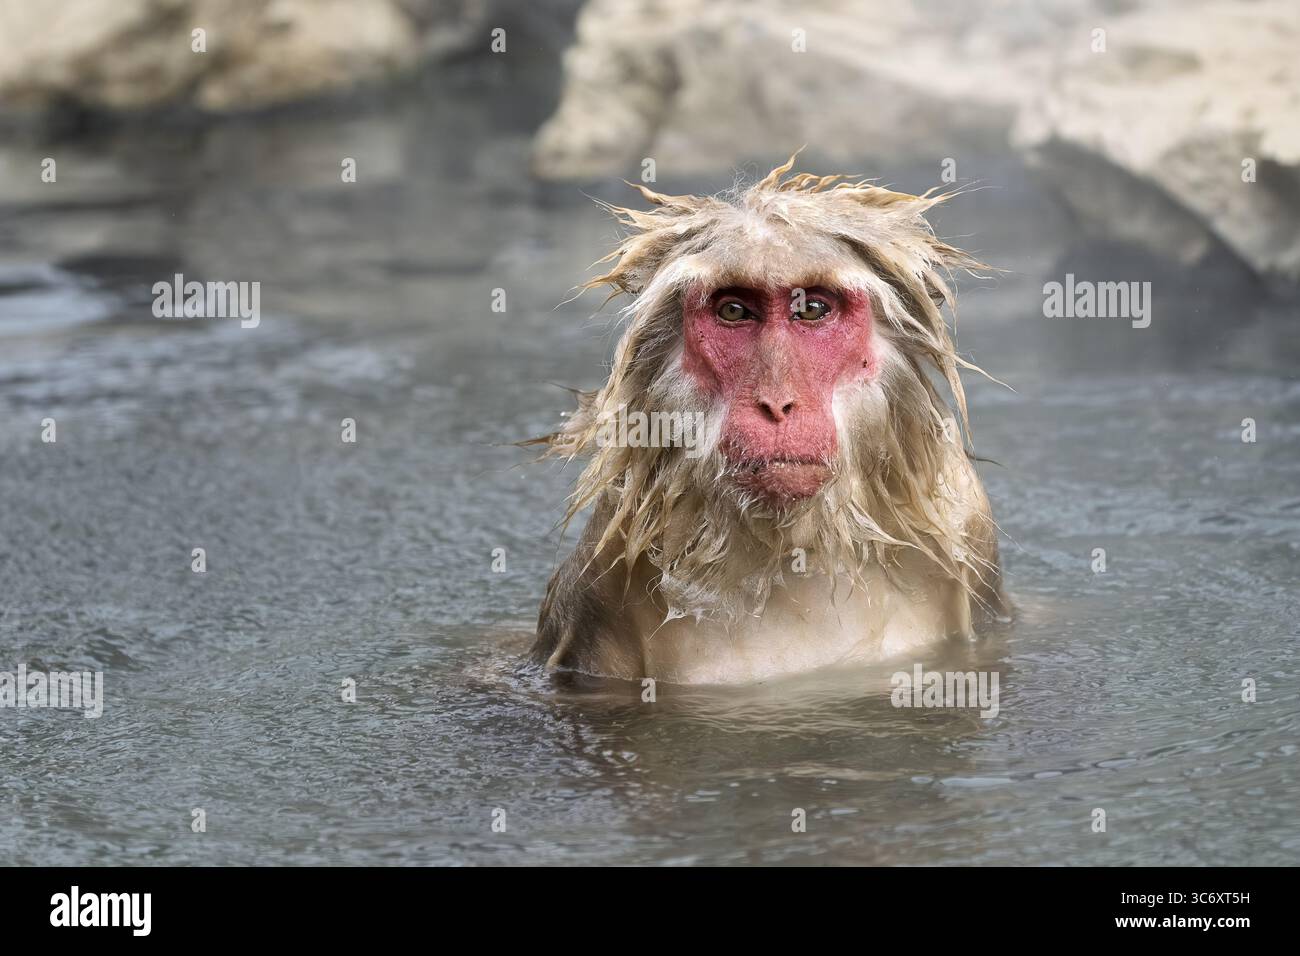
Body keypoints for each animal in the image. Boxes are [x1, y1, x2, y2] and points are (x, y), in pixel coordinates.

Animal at [528, 154, 1008, 685]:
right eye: (735, 311)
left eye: (812, 309)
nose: (777, 403)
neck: (791, 548)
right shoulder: (603, 572)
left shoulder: (968, 520)